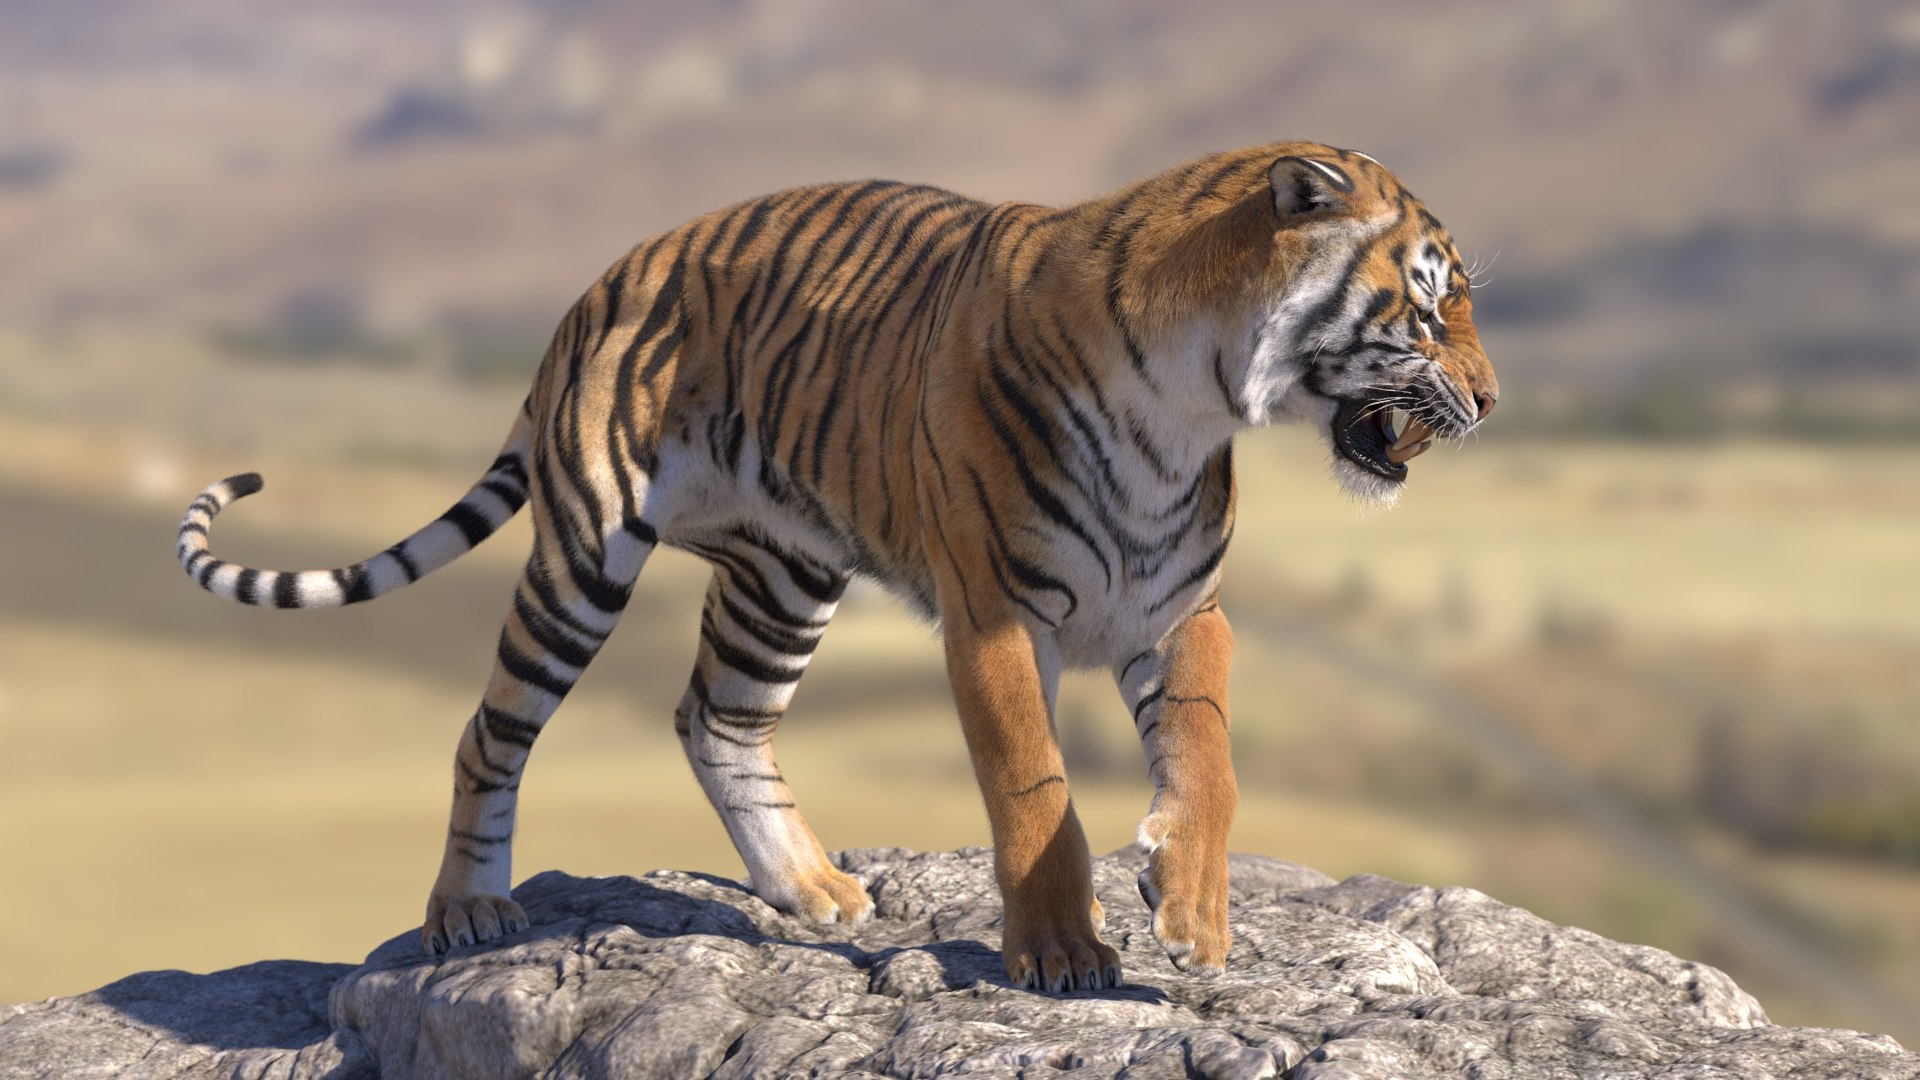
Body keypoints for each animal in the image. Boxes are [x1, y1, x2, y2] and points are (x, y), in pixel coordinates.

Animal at [176, 140, 1498, 995]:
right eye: (1431, 310)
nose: (1489, 402)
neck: (1195, 396)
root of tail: (599, 283)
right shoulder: (997, 614)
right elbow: (1034, 789)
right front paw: (1063, 955)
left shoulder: (1185, 611)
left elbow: (1211, 764)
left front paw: (1195, 916)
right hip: (588, 555)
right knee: (490, 731)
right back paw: (469, 909)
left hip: (784, 576)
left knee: (715, 717)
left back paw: (812, 891)